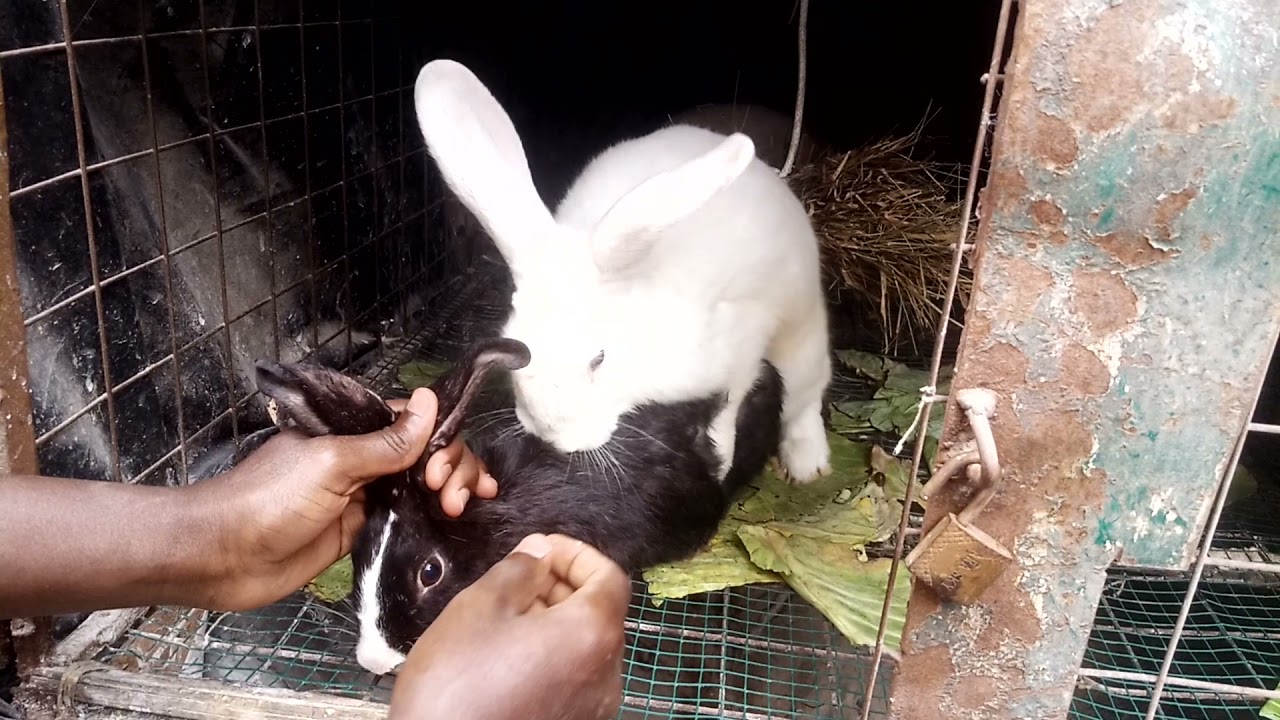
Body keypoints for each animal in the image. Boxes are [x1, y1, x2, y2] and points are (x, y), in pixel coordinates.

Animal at [413, 59, 833, 485]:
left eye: (599, 359)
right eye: (517, 346)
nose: (551, 433)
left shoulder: (741, 340)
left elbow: (731, 400)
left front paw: (721, 455)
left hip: (801, 336)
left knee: (806, 396)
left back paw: (807, 465)